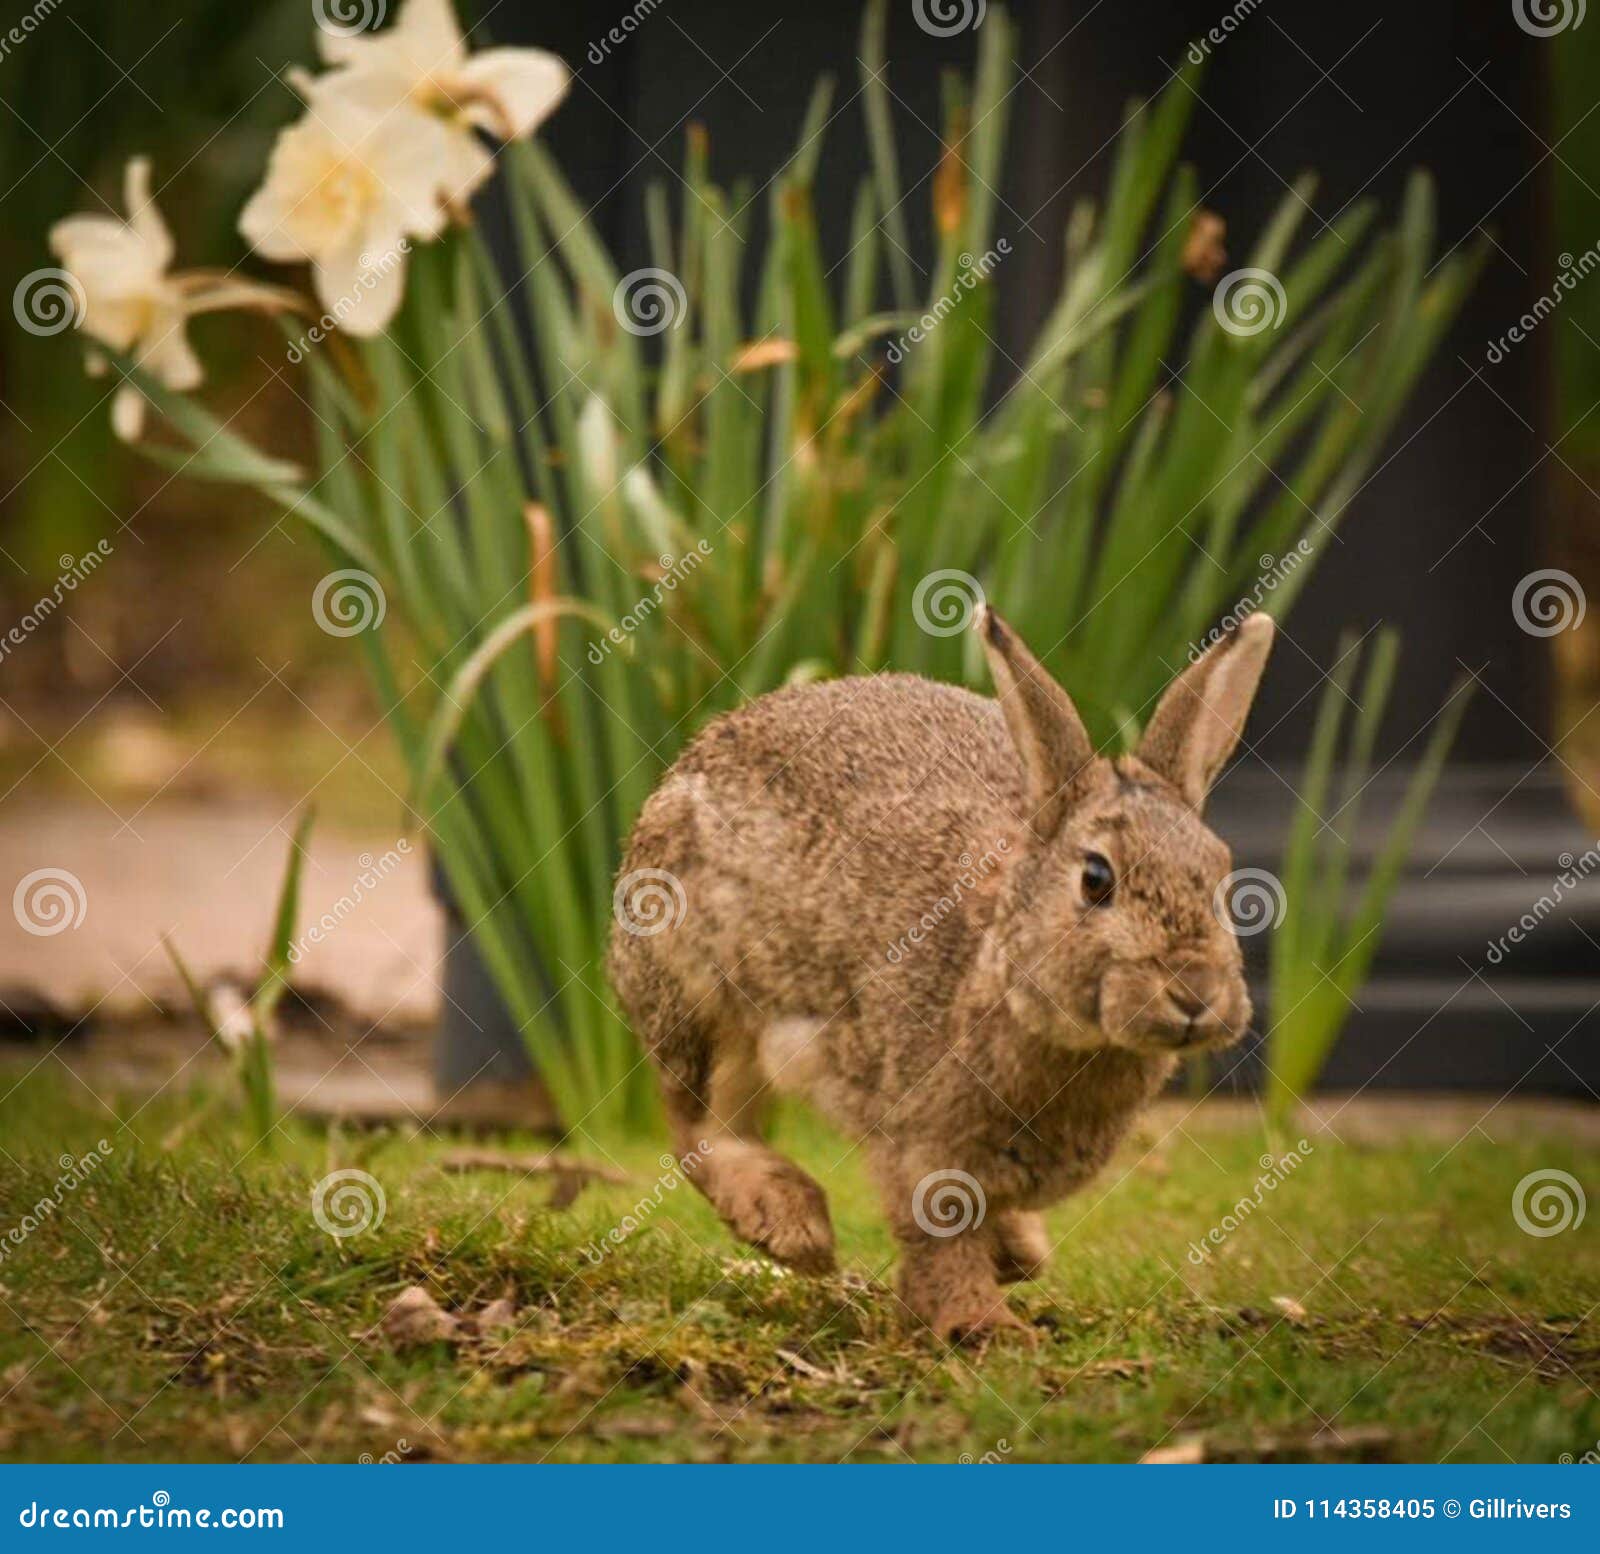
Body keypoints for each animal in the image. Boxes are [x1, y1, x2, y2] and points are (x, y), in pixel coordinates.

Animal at [608, 606, 1274, 1342]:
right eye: (1097, 879)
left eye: (1222, 877)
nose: (1194, 994)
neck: (998, 972)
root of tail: (681, 776)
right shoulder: (923, 1147)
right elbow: (939, 1236)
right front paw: (983, 1328)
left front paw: (985, 1285)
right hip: (702, 994)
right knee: (696, 1123)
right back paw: (793, 1226)